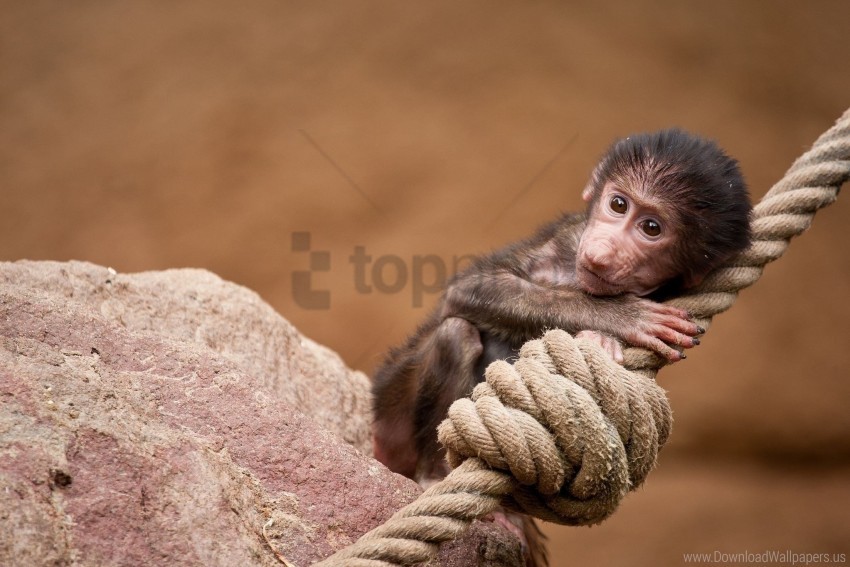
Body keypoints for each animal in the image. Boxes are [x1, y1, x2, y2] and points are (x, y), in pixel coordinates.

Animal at [371, 129, 752, 563]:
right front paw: (618, 318)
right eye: (618, 204)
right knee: (456, 334)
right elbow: (469, 288)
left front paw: (601, 333)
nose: (603, 250)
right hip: (394, 405)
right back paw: (435, 475)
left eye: (652, 228)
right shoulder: (568, 237)